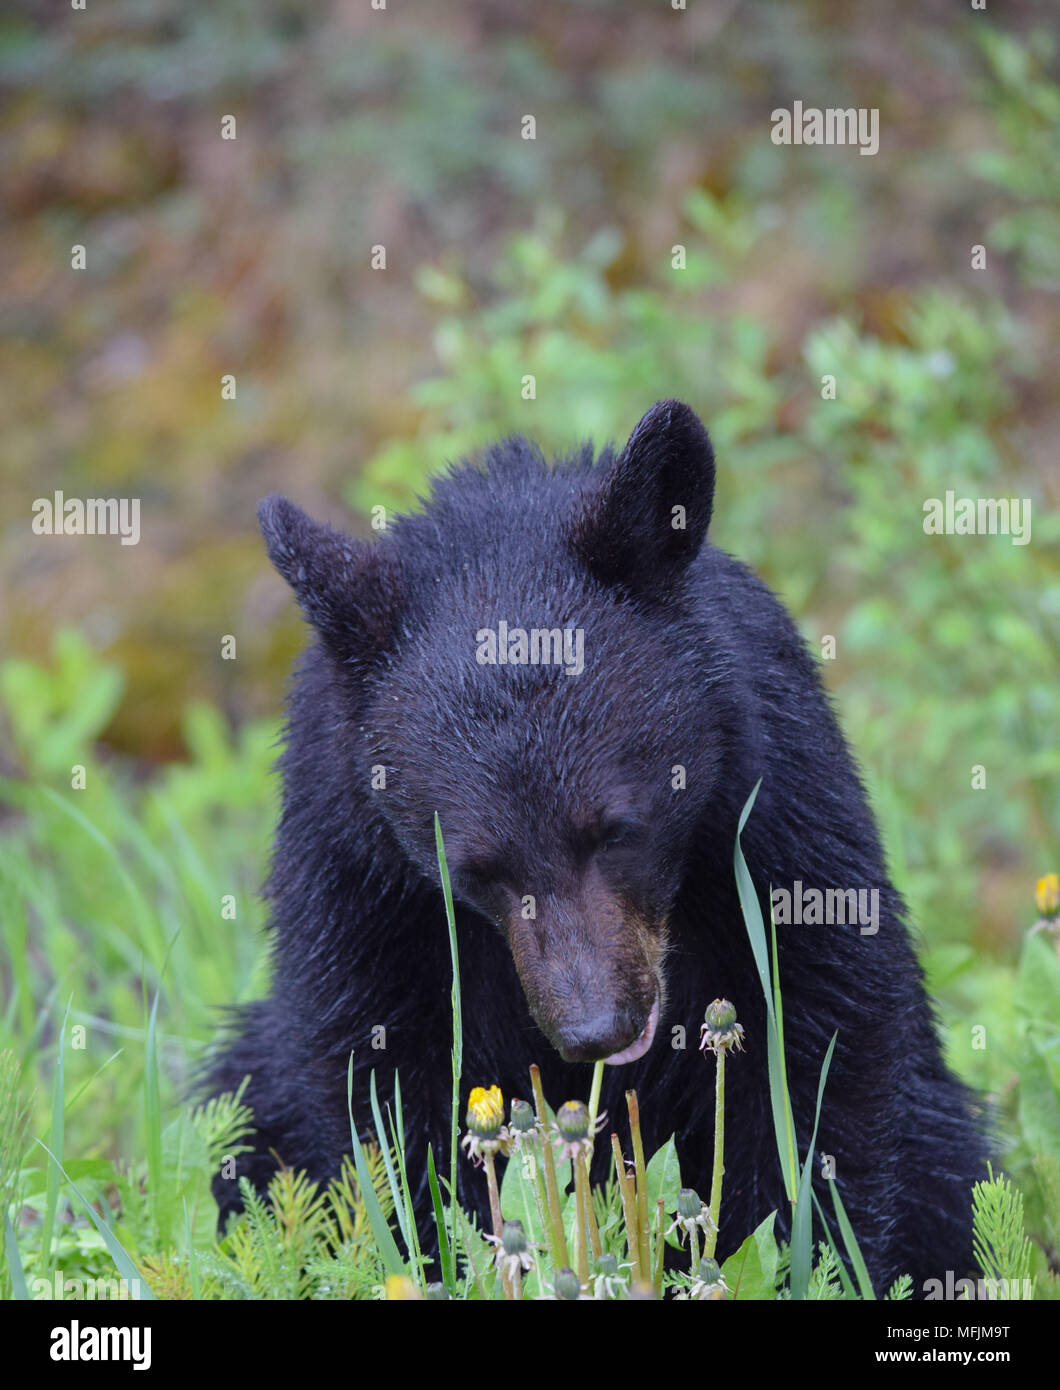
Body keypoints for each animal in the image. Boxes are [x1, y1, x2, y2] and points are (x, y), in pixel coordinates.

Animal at [205, 399, 987, 1293]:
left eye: (616, 829)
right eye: (474, 868)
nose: (596, 1030)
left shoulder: (780, 815)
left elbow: (822, 1050)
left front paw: (808, 1252)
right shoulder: (355, 873)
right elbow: (381, 1095)